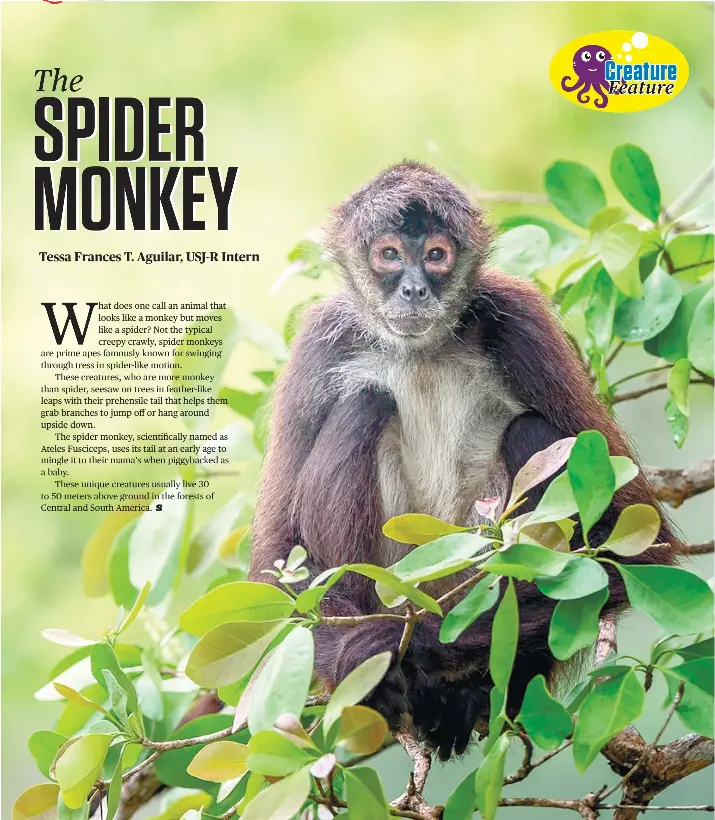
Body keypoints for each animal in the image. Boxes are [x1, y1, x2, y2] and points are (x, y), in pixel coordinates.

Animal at [249, 161, 680, 761]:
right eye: (389, 254)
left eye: (436, 255)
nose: (414, 287)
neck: (421, 351)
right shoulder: (322, 342)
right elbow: (275, 562)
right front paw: (365, 658)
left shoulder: (518, 317)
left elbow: (634, 551)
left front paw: (401, 646)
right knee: (364, 402)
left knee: (530, 429)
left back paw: (472, 690)